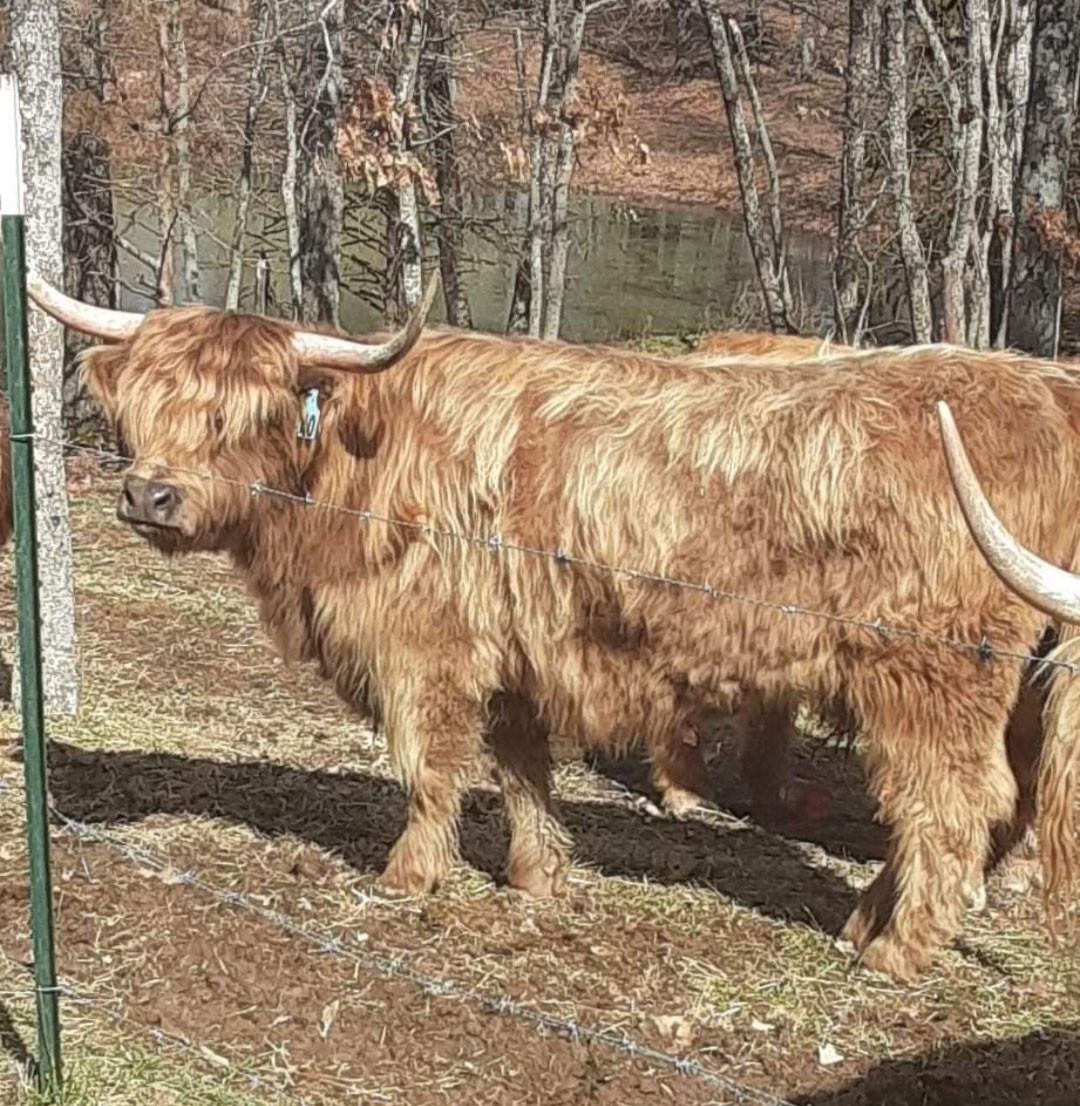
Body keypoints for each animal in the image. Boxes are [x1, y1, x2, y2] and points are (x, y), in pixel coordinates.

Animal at [28, 275, 1080, 982]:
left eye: (240, 415)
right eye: (148, 404)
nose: (149, 494)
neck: (354, 474)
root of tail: (1046, 390)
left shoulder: (427, 649)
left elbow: (430, 768)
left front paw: (409, 876)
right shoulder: (515, 652)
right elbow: (521, 767)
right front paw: (536, 875)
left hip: (928, 677)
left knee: (953, 806)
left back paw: (893, 952)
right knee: (990, 807)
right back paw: (865, 921)